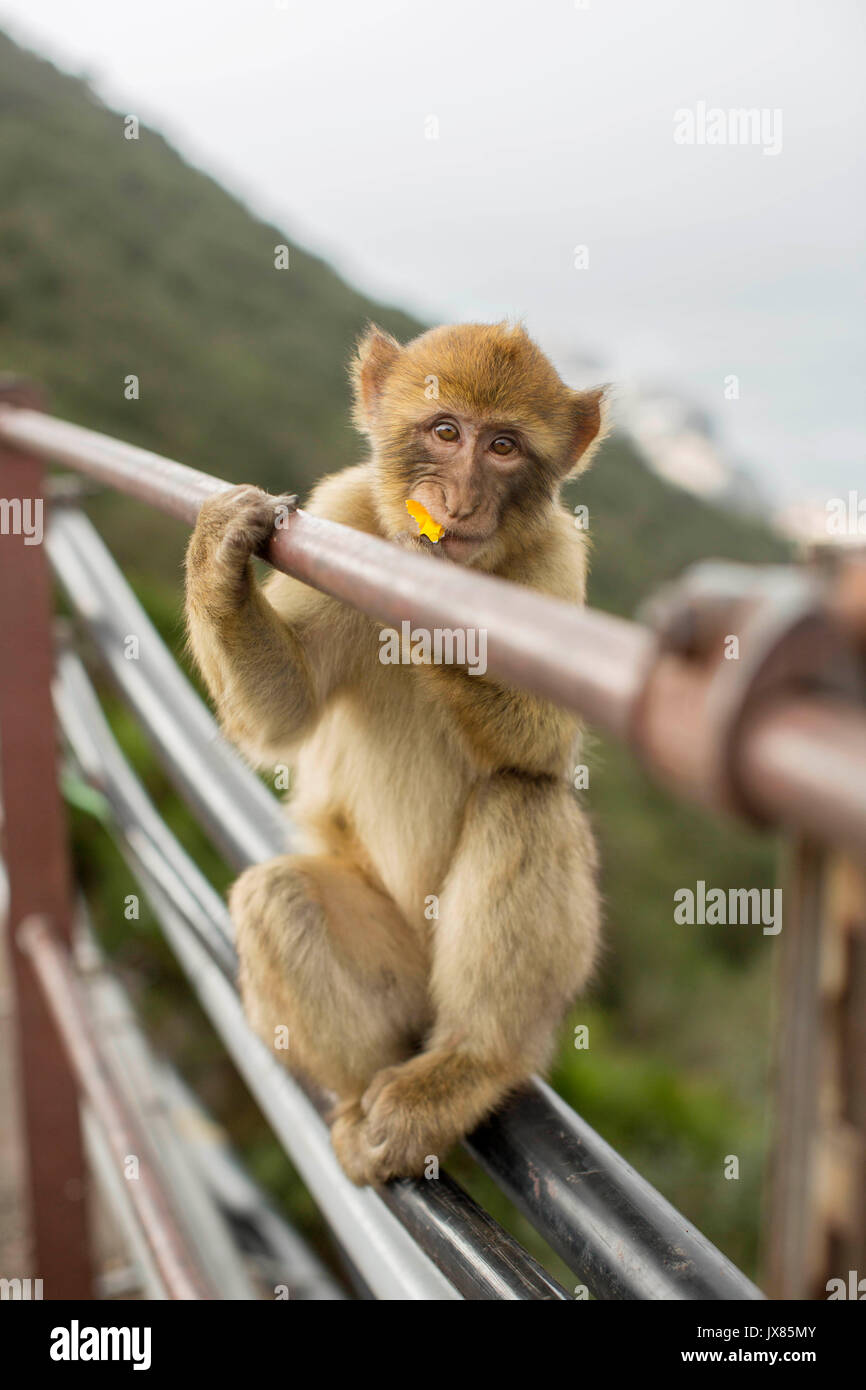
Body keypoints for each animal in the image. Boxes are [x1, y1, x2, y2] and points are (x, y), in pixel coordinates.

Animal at [184, 321, 607, 1186]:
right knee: (279, 896)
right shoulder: (343, 512)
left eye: (504, 446)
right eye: (446, 432)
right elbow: (283, 715)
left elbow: (548, 748)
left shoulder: (557, 556)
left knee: (525, 798)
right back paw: (354, 1105)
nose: (459, 501)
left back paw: (469, 1067)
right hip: (400, 977)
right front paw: (217, 551)